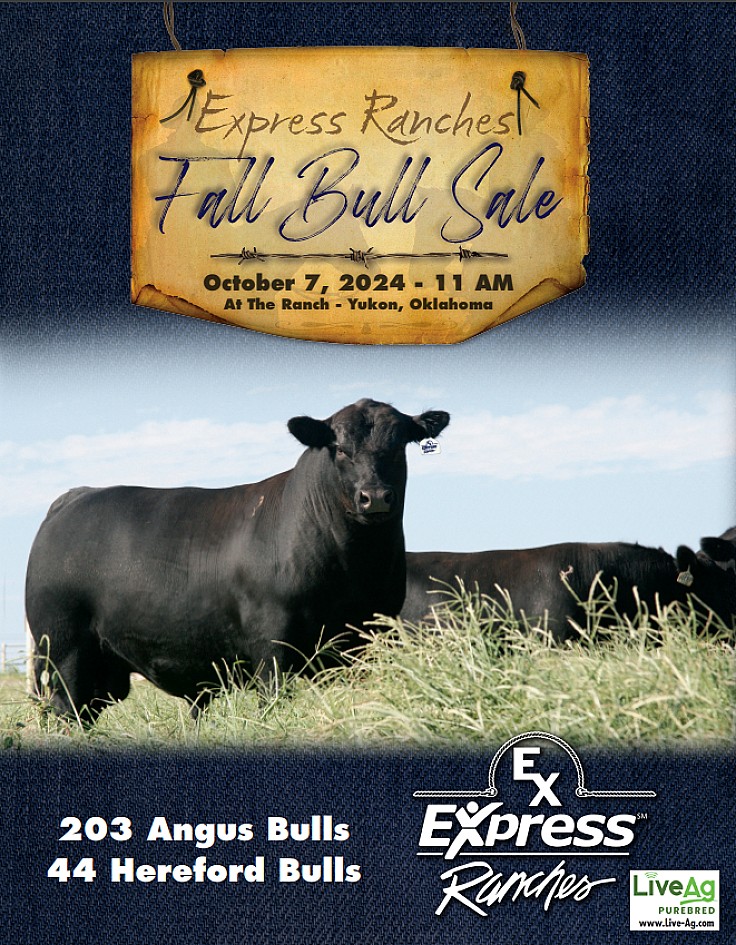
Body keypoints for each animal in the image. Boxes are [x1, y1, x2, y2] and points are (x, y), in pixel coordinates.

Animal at [25, 398, 450, 722]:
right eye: (341, 449)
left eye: (398, 446)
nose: (374, 497)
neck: (352, 568)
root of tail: (75, 496)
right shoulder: (272, 647)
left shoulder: (363, 642)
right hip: (64, 652)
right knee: (66, 712)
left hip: (101, 670)